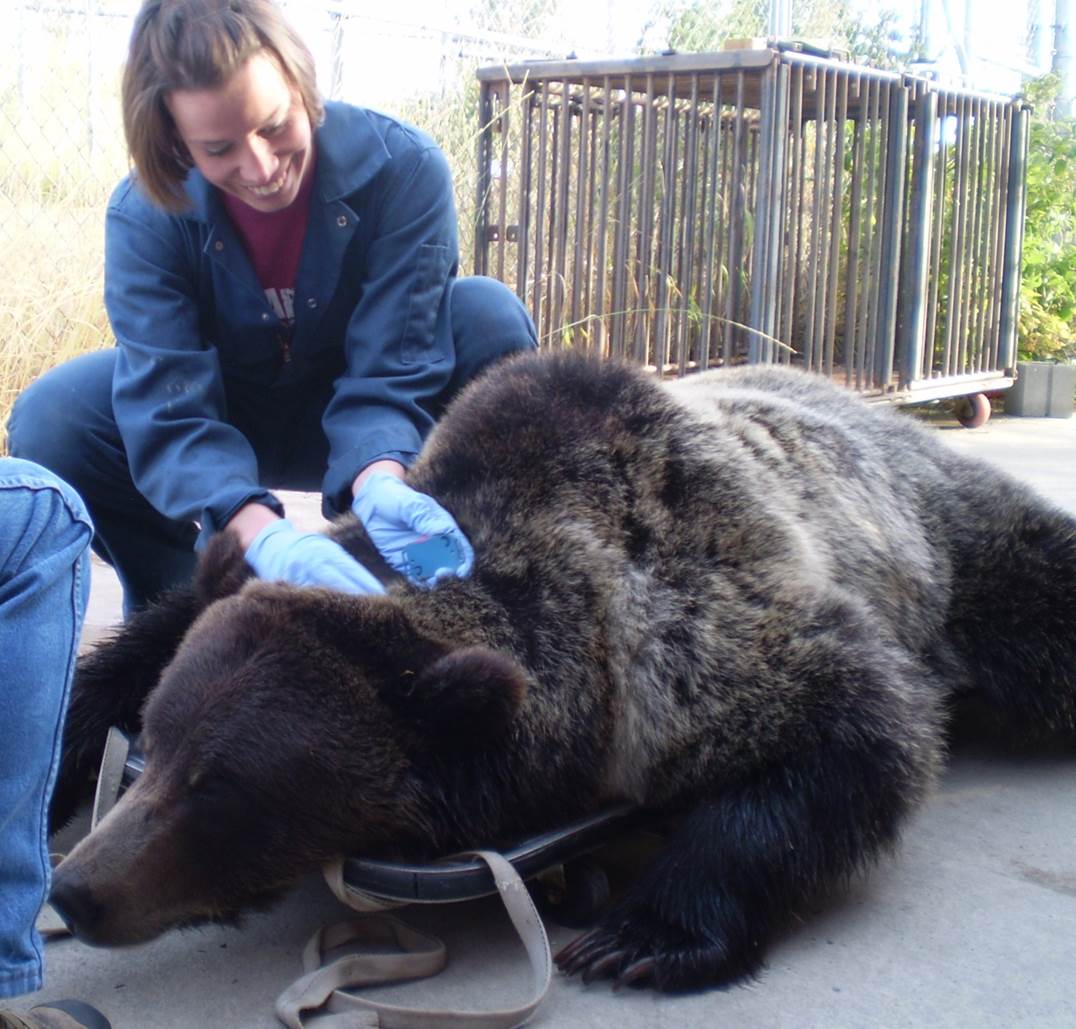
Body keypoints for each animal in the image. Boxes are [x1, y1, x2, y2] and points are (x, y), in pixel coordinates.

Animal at [49, 350, 1076, 992]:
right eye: (160, 744)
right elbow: (133, 646)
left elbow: (856, 724)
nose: (77, 887)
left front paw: (642, 937)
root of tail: (874, 406)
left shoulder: (685, 639)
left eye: (221, 786)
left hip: (960, 541)